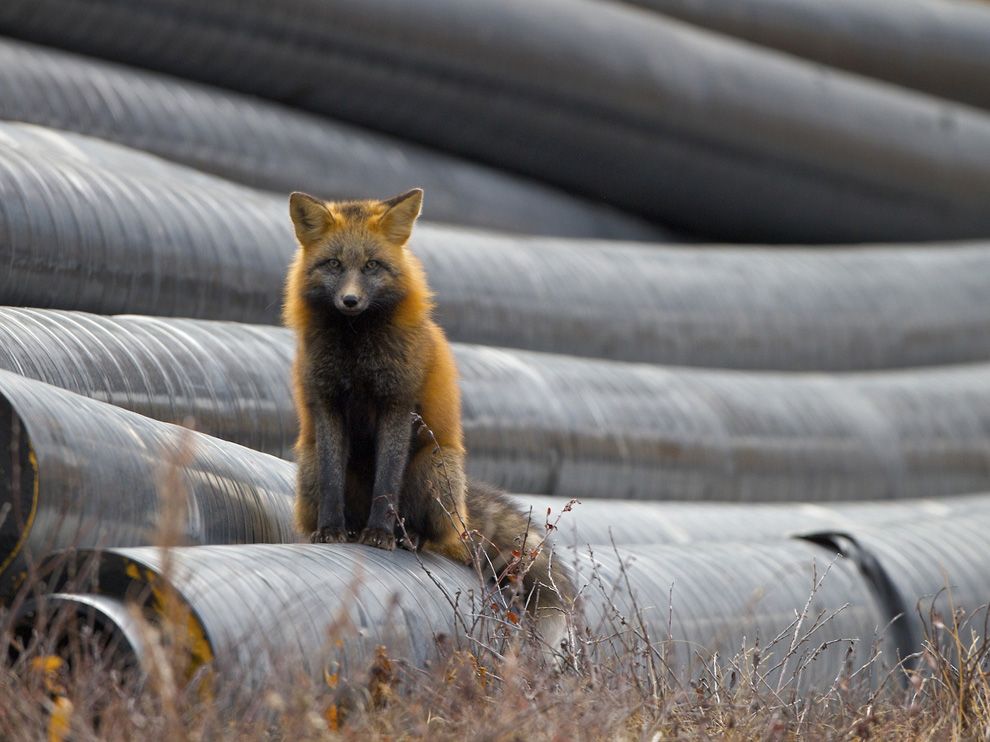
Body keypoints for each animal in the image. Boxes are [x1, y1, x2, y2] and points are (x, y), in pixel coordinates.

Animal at [284, 188, 574, 644]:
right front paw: (332, 531)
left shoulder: (398, 404)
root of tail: (462, 519)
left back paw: (412, 538)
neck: (355, 349)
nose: (350, 300)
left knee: (444, 544)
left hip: (433, 465)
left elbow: (386, 482)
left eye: (371, 265)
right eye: (333, 264)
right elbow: (333, 479)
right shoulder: (327, 403)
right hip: (309, 462)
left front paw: (380, 535)